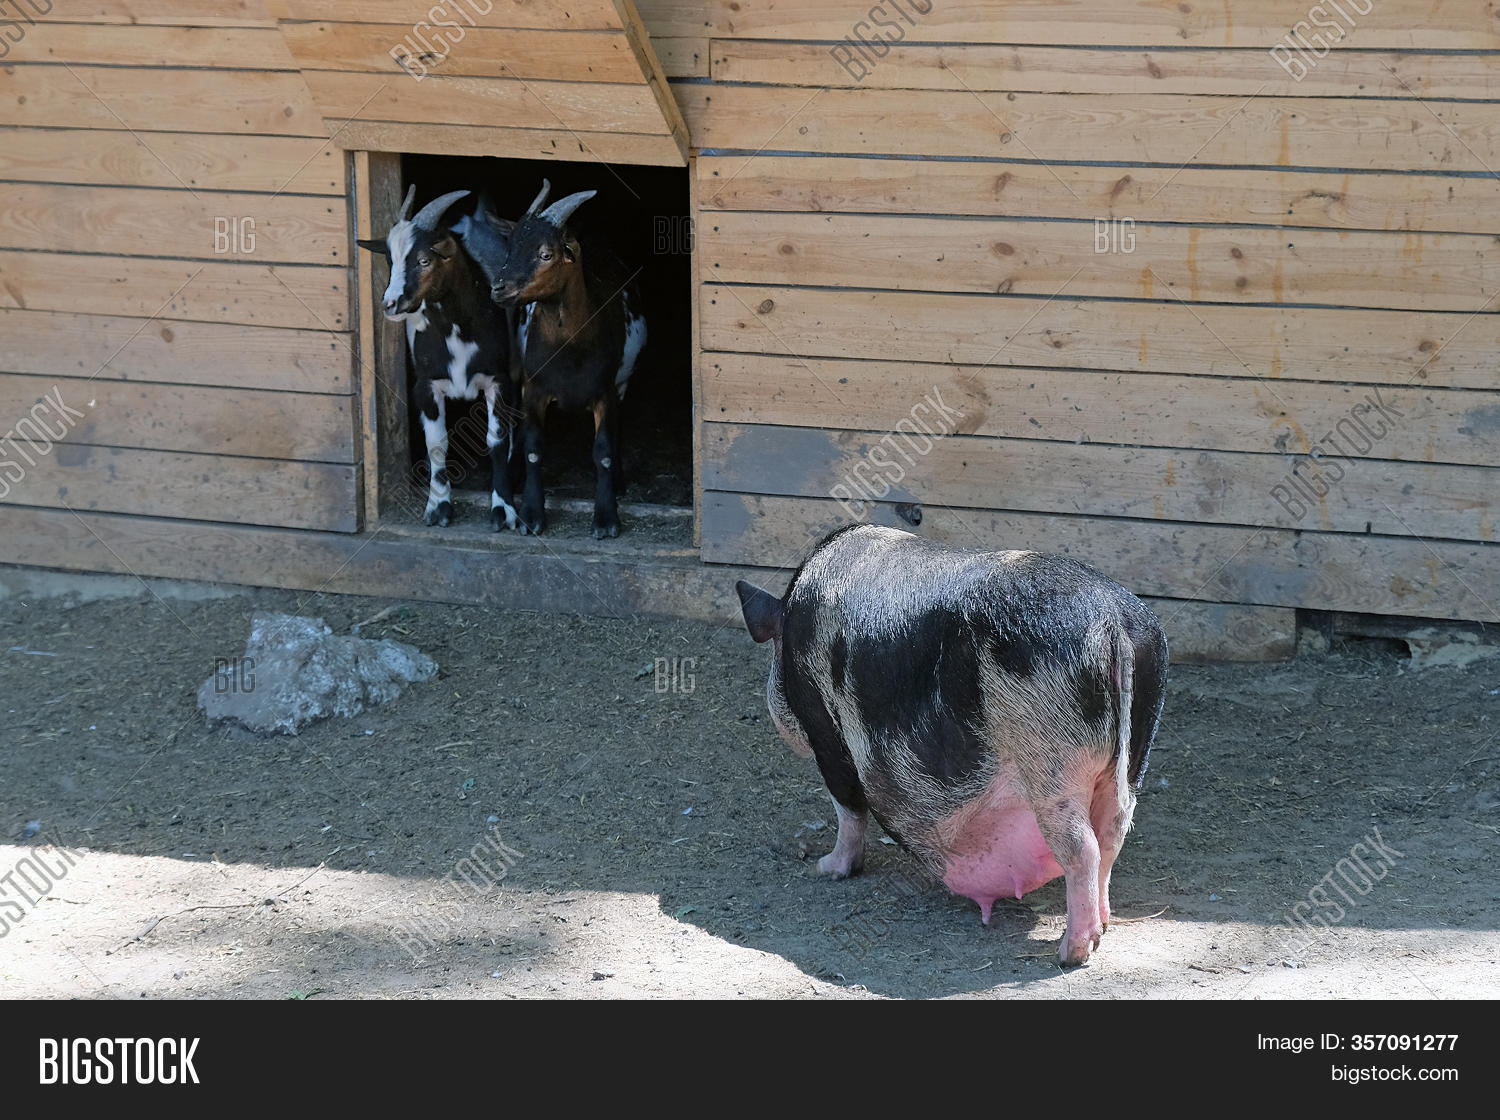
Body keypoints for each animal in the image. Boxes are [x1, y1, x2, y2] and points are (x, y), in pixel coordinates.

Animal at [736, 524, 1168, 965]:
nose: (771, 707)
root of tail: (1111, 623)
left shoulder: (825, 730)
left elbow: (848, 805)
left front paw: (828, 868)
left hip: (1052, 757)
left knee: (1082, 847)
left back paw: (1071, 953)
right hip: (1134, 751)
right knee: (1112, 832)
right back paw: (1103, 927)